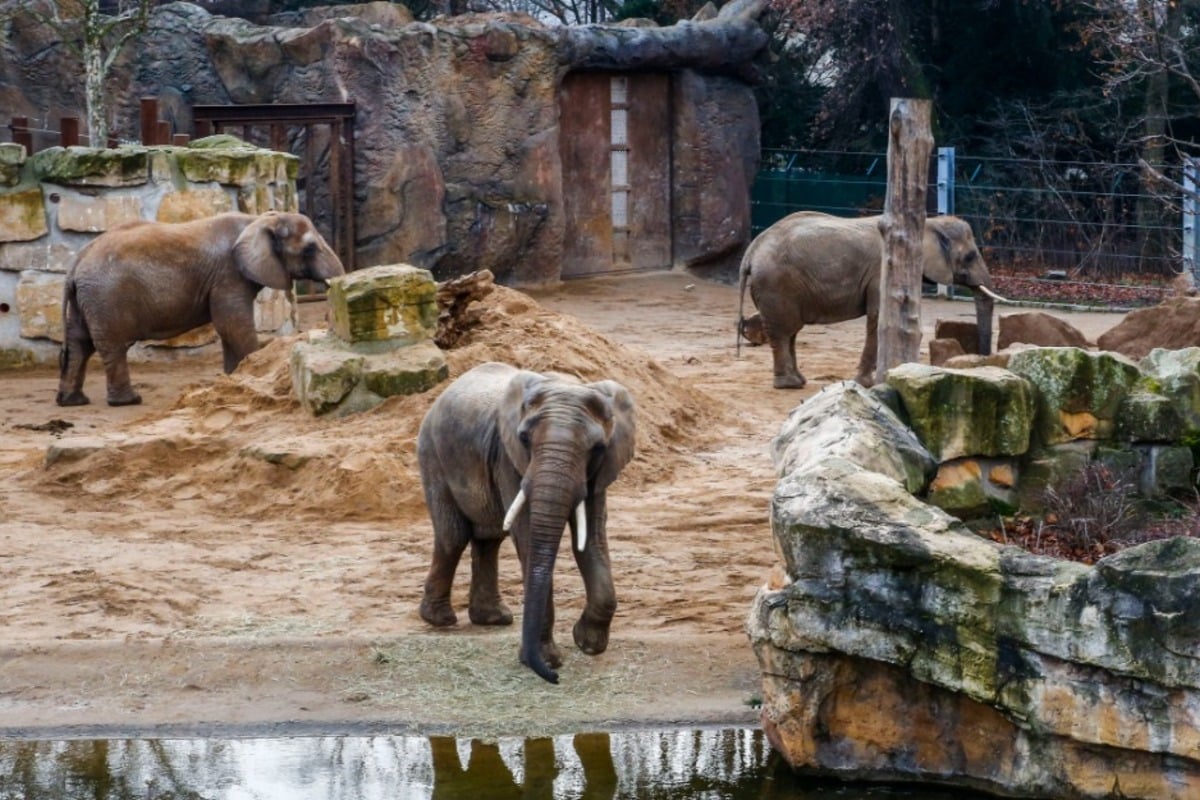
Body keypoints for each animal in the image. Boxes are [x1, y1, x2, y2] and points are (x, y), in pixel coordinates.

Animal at [56, 211, 344, 407]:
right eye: (309, 249)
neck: (261, 218)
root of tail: (76, 263)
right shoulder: (228, 274)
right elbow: (232, 325)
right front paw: (249, 375)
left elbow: (229, 329)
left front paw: (233, 380)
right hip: (106, 298)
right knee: (112, 345)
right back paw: (129, 401)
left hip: (87, 299)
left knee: (79, 343)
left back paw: (73, 401)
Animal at [417, 361, 637, 684]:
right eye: (524, 439)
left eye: (597, 448)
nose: (554, 679)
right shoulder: (509, 459)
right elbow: (528, 535)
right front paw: (547, 660)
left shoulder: (599, 472)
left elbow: (592, 538)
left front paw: (587, 645)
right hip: (433, 455)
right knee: (453, 536)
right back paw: (440, 620)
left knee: (489, 538)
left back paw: (493, 619)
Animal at [736, 211, 1004, 388]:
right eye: (970, 256)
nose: (982, 359)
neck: (928, 223)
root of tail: (750, 251)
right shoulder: (881, 273)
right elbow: (878, 317)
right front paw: (869, 383)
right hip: (776, 284)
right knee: (784, 332)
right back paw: (789, 384)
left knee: (789, 332)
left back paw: (798, 381)